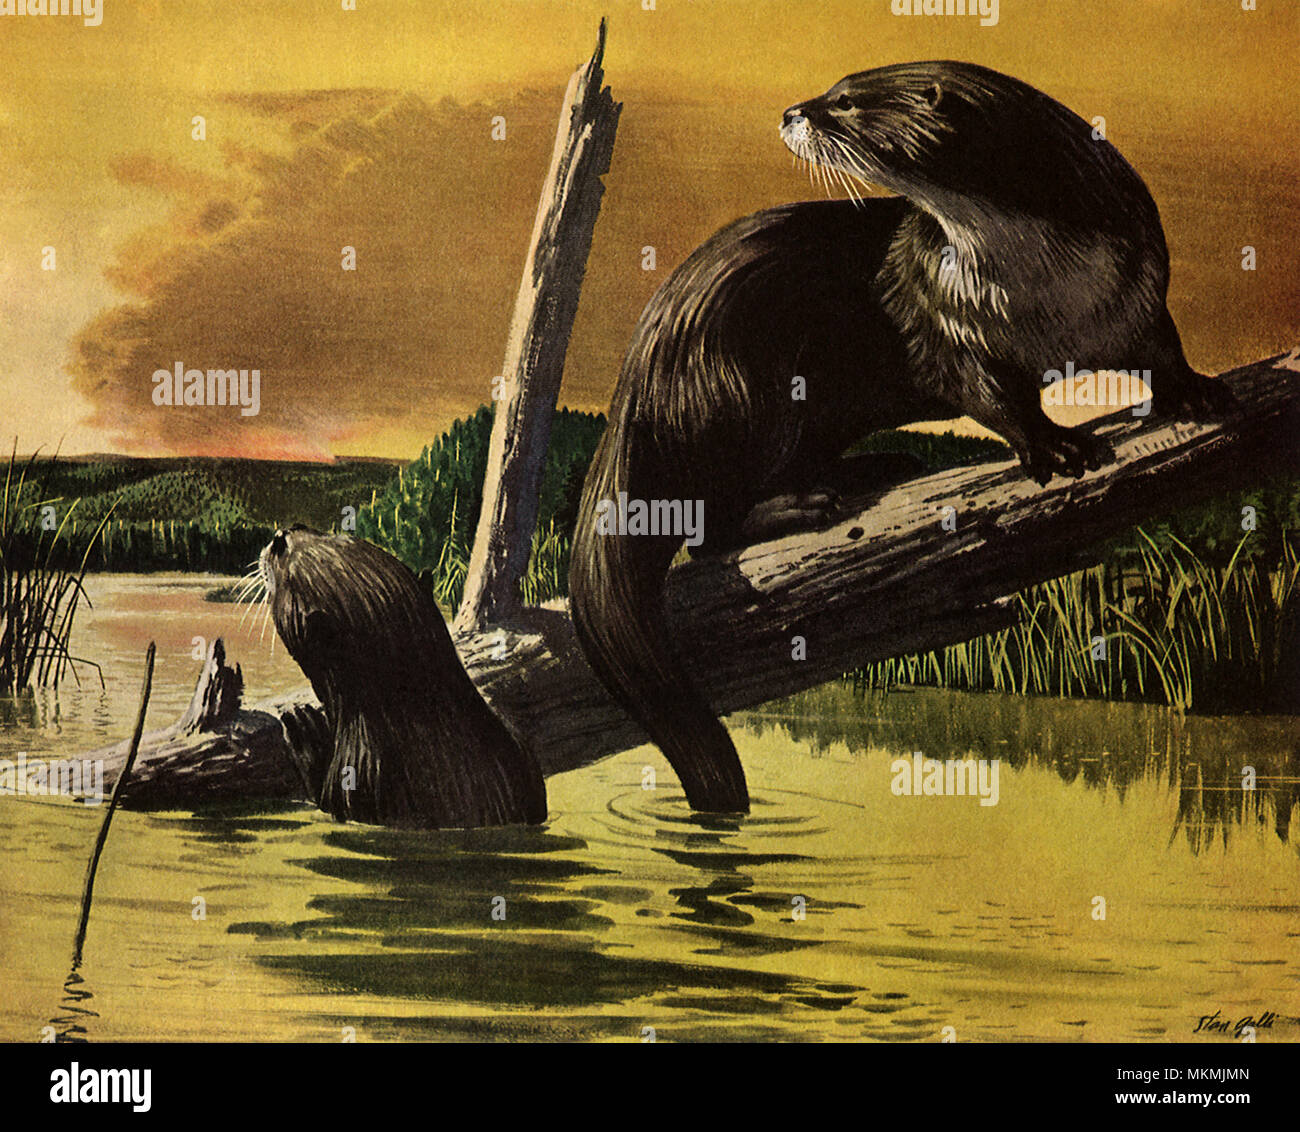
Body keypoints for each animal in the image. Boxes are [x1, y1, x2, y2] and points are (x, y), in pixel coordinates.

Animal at [568, 60, 1236, 814]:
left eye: (847, 102)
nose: (791, 111)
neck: (1045, 286)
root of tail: (633, 397)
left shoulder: (1138, 284)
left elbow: (1161, 346)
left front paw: (1198, 388)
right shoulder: (941, 315)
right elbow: (989, 394)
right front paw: (1050, 443)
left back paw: (875, 465)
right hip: (743, 394)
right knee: (709, 529)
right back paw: (807, 503)